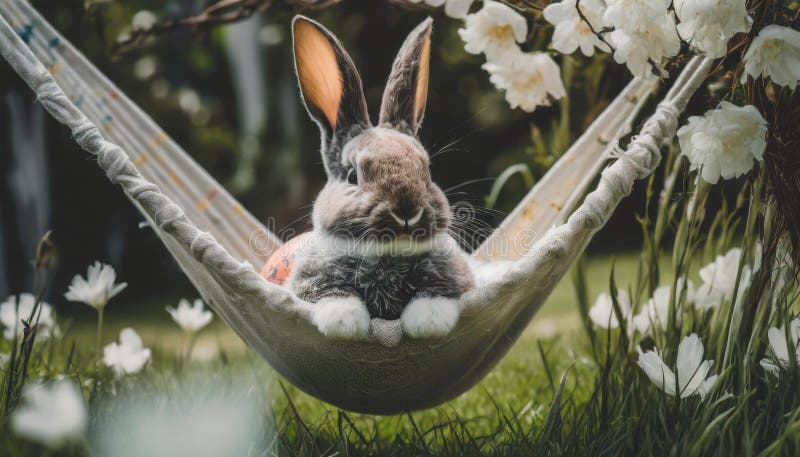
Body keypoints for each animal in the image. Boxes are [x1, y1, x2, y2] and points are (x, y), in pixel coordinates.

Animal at [286, 15, 475, 340]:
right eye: (352, 176)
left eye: (426, 169)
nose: (407, 211)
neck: (388, 258)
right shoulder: (310, 281)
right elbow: (333, 294)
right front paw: (345, 323)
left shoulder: (452, 276)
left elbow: (435, 294)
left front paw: (428, 322)